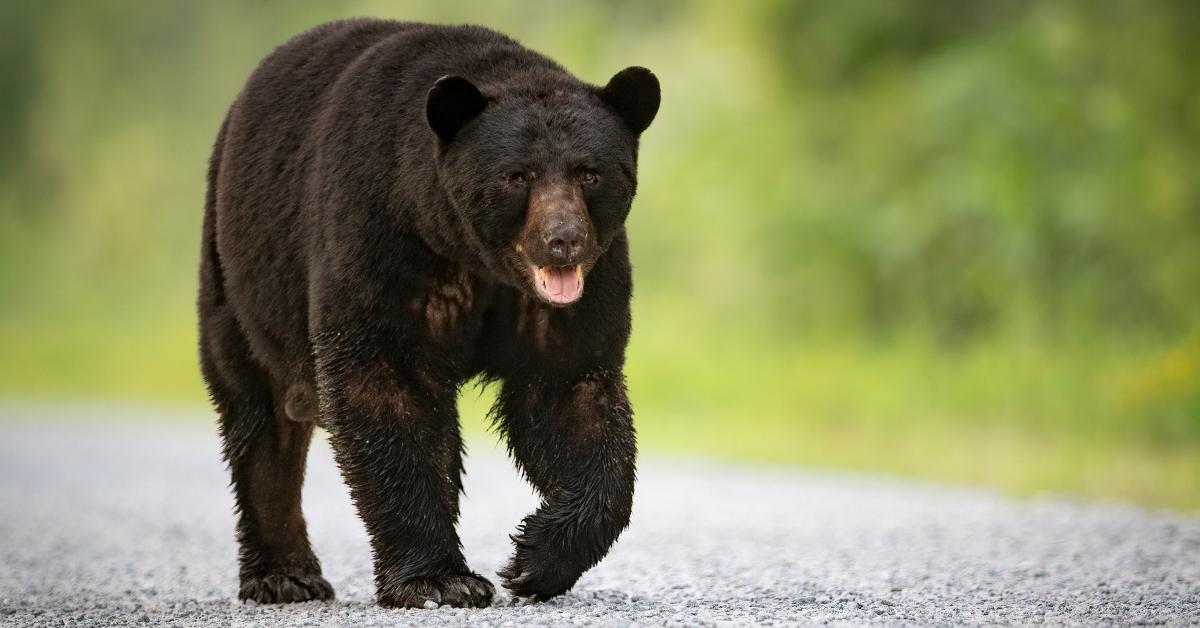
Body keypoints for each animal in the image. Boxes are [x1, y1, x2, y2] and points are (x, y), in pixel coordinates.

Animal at [197, 18, 659, 609]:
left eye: (590, 172)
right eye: (518, 175)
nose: (564, 240)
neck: (471, 255)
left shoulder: (575, 298)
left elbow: (572, 396)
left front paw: (535, 559)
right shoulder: (382, 244)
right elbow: (388, 393)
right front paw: (439, 581)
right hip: (240, 275)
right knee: (260, 416)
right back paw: (285, 575)